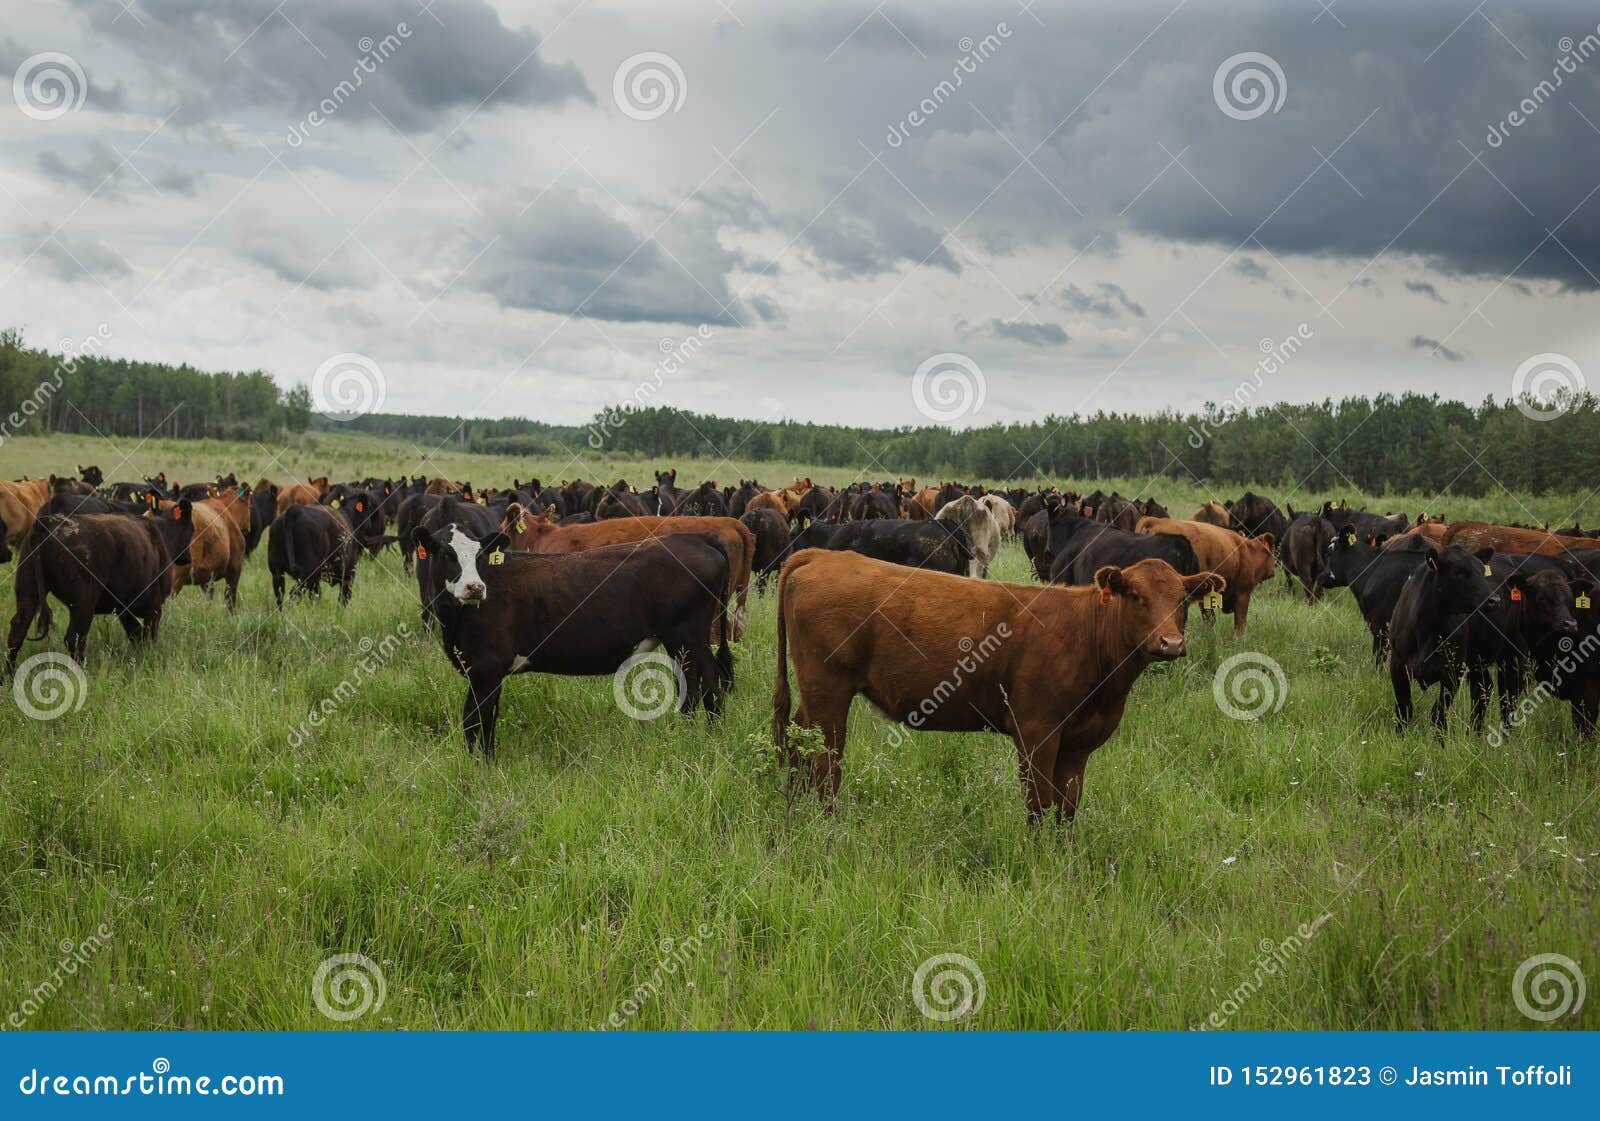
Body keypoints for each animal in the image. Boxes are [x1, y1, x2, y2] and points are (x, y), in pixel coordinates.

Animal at [5, 501, 194, 671]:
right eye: (191, 531)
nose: (188, 558)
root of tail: (47, 524)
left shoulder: (124, 609)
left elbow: (136, 634)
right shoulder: (155, 606)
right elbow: (148, 636)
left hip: (28, 591)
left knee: (17, 631)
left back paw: (8, 675)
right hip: (83, 604)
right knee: (74, 638)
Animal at [414, 523, 733, 758]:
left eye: (480, 556)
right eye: (446, 554)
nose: (475, 587)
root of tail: (697, 537)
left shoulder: (486, 668)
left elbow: (476, 720)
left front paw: (482, 765)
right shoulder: (484, 672)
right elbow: (483, 719)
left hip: (687, 638)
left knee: (703, 687)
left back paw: (696, 738)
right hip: (687, 642)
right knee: (701, 687)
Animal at [772, 550, 1223, 820]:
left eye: (1182, 600)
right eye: (1134, 595)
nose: (1171, 643)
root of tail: (824, 554)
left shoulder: (1080, 741)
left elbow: (1067, 806)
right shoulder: (1036, 730)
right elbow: (1039, 803)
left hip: (814, 695)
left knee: (798, 746)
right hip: (828, 691)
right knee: (825, 765)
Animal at [1388, 544, 1501, 731]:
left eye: (1482, 571)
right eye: (1458, 572)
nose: (1494, 600)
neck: (1428, 630)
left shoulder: (1454, 671)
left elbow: (1438, 712)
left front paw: (1440, 738)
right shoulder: (1397, 665)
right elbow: (1404, 708)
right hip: (1477, 661)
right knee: (1482, 688)